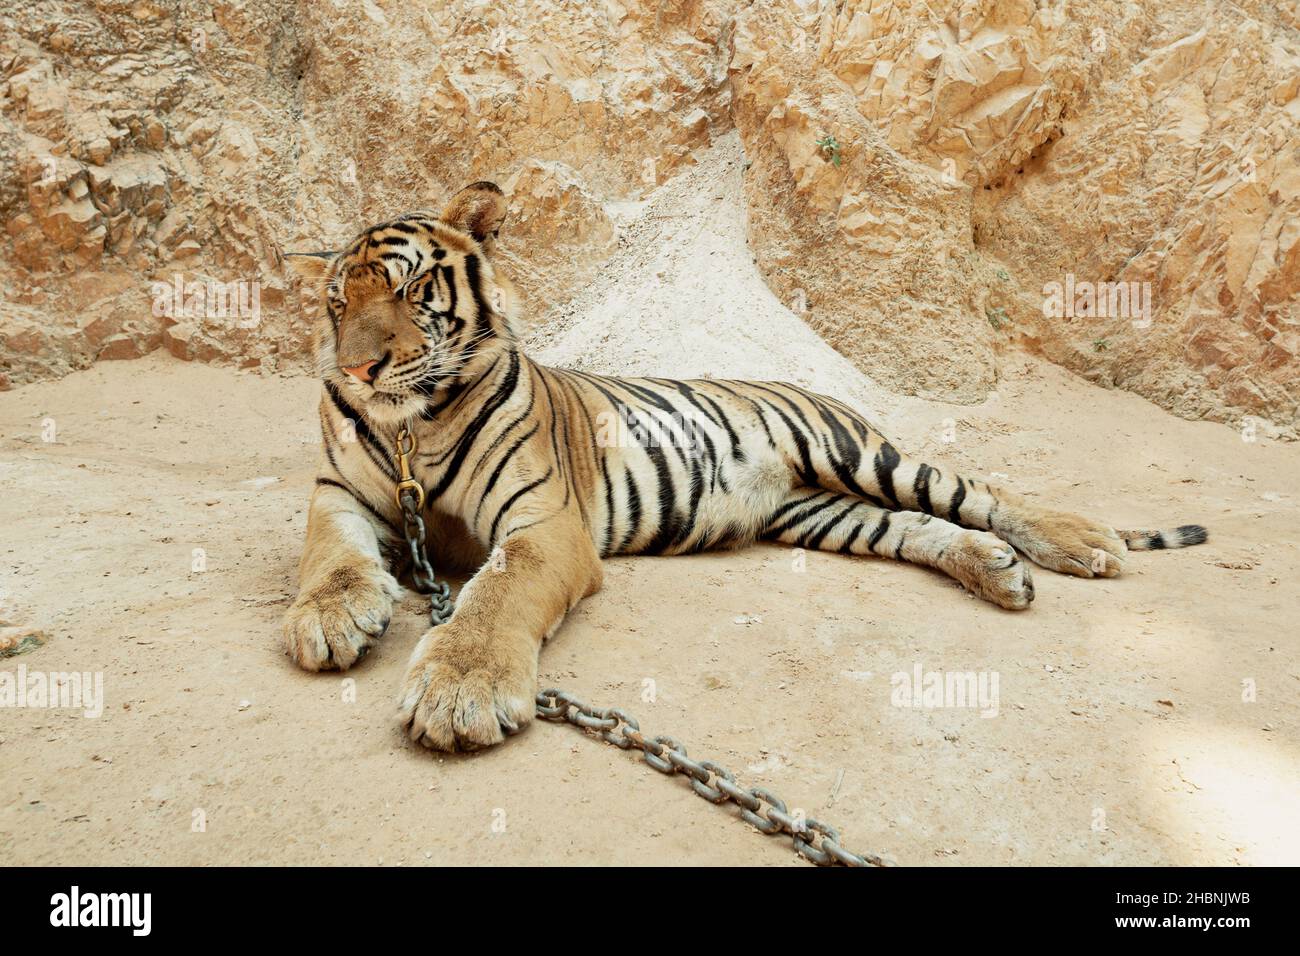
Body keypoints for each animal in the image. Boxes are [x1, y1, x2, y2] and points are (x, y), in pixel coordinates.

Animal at [281, 181, 1208, 753]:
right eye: (338, 302)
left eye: (410, 291)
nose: (358, 368)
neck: (417, 428)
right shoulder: (340, 490)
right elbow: (327, 555)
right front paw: (328, 617)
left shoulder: (545, 521)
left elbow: (495, 592)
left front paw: (459, 689)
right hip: (827, 513)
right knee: (920, 528)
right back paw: (996, 570)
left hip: (859, 454)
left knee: (977, 490)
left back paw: (1079, 542)